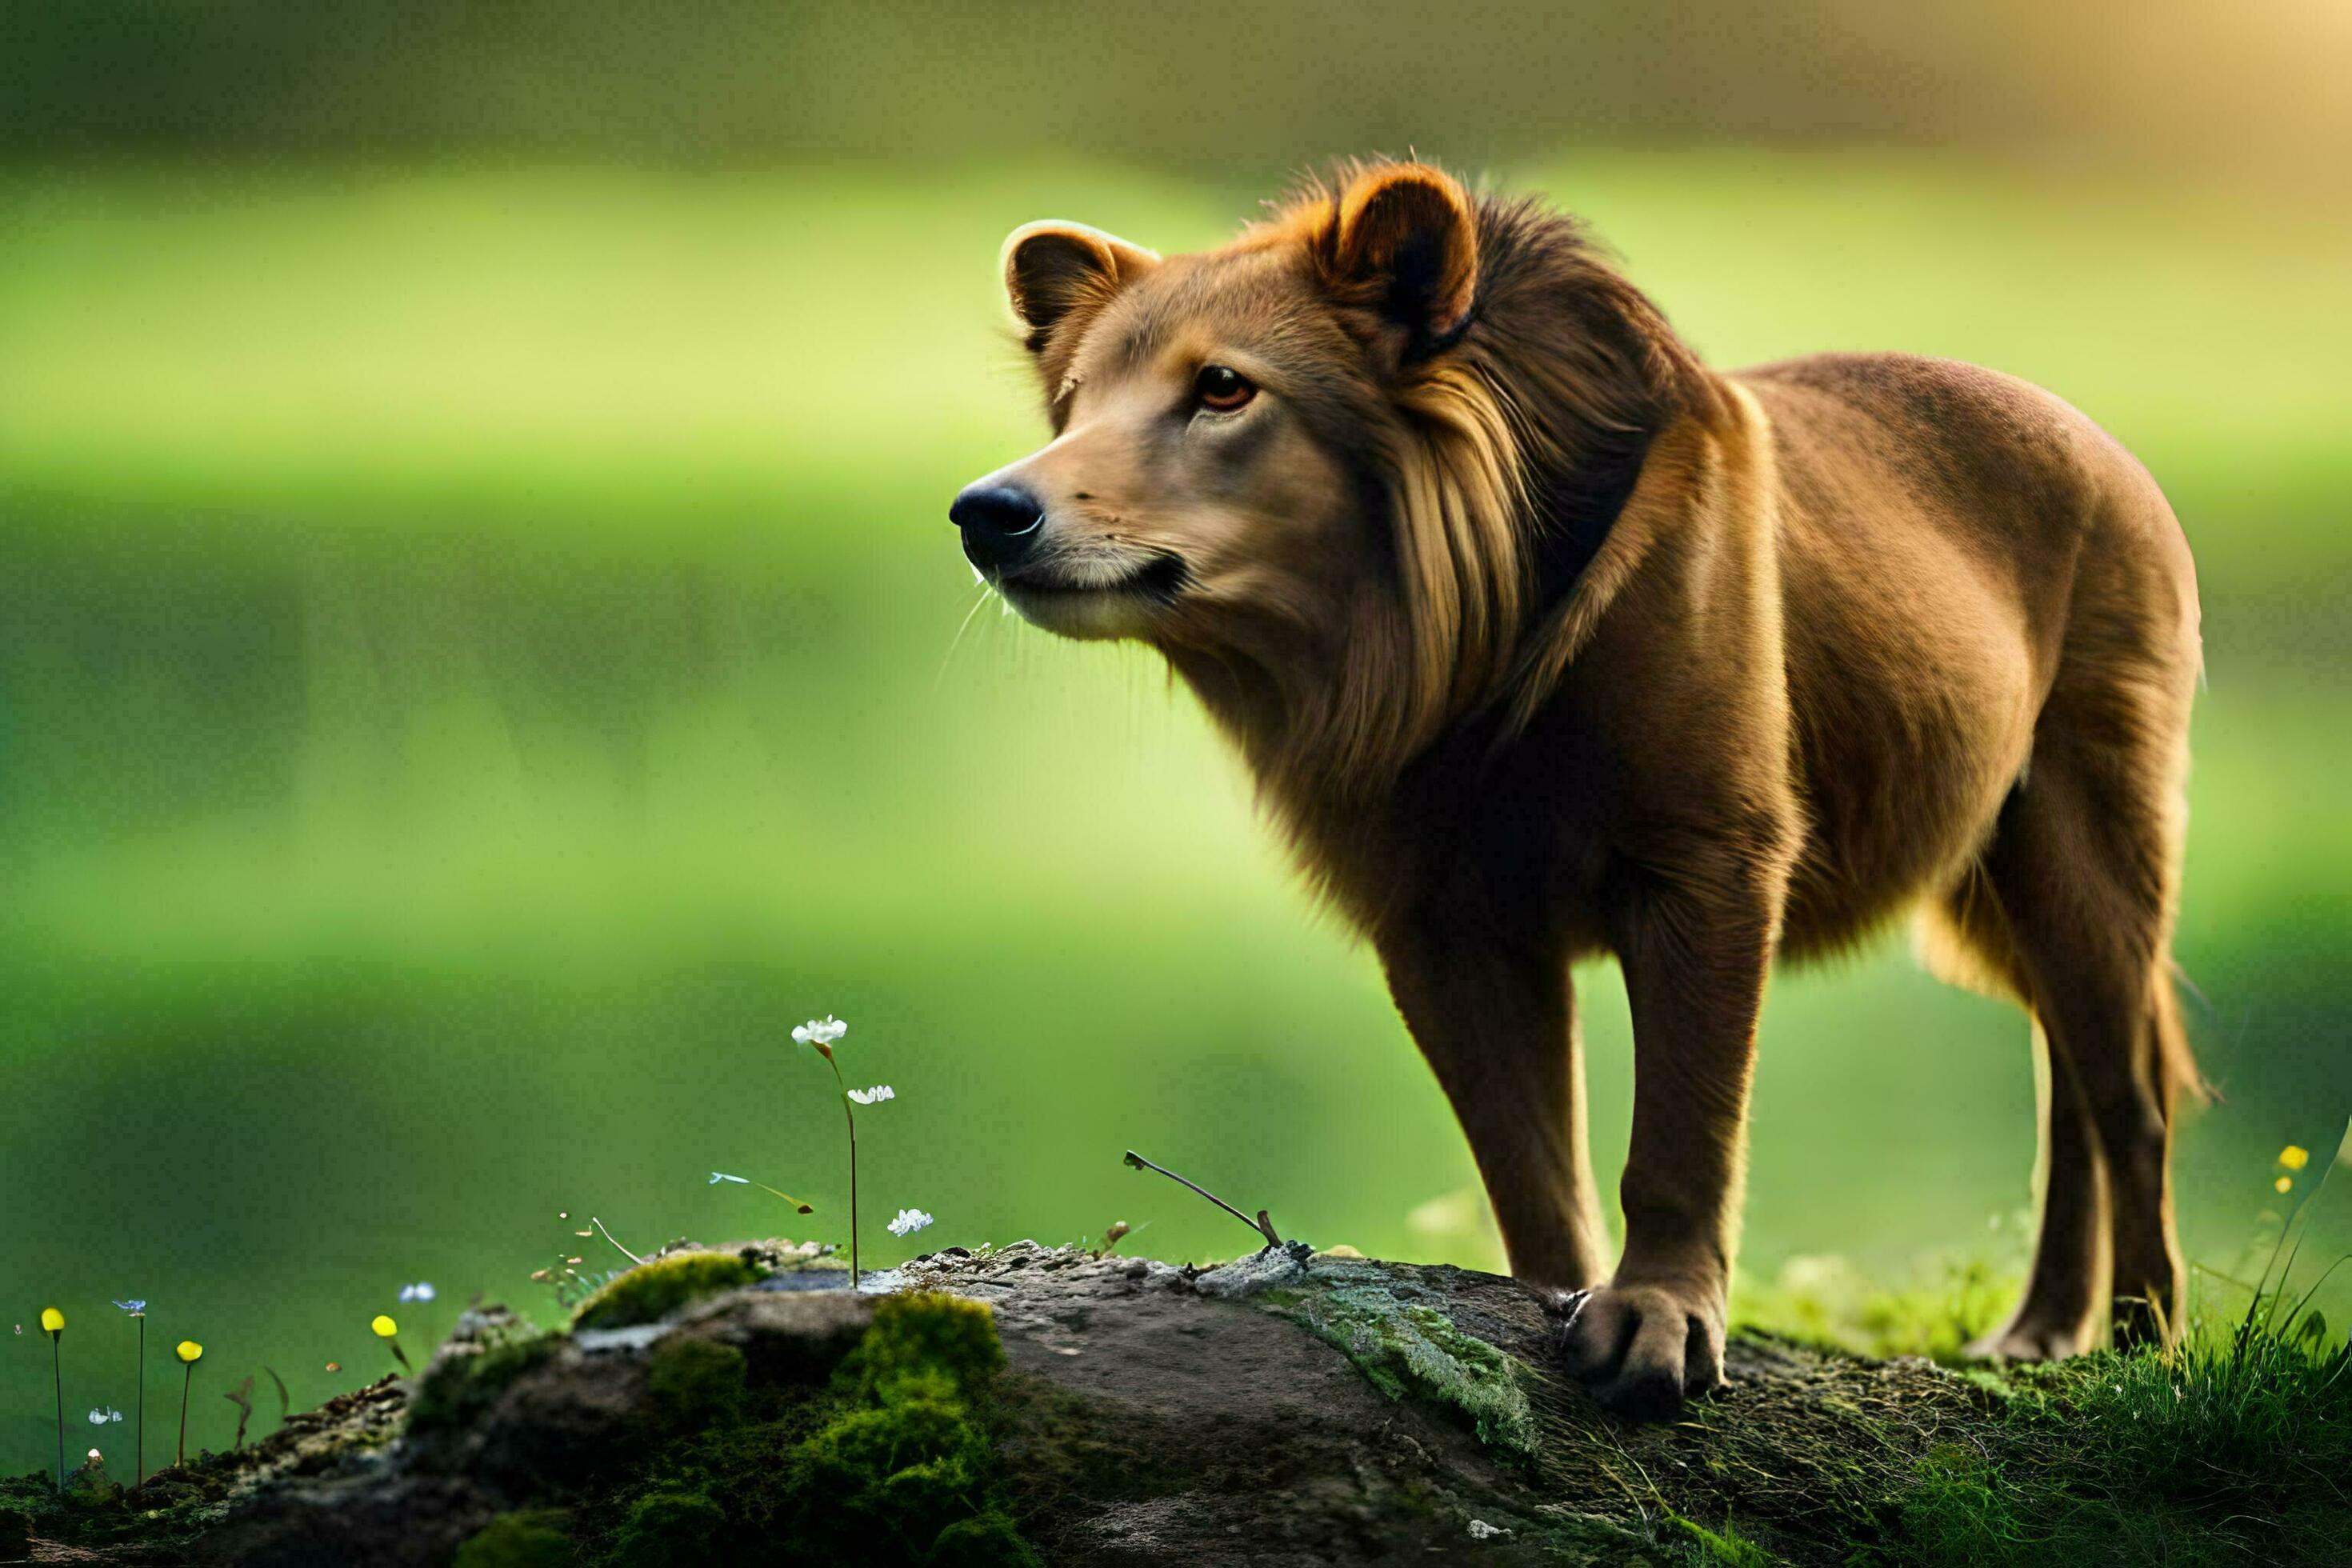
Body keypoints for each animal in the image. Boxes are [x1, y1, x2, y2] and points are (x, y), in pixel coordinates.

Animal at [949, 160, 2201, 1418]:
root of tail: (2097, 439)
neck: (1452, 656)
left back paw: (2142, 1343)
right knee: (2075, 1089)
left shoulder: (1709, 865)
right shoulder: (1442, 923)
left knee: (2130, 1101)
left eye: (1222, 389)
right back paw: (2041, 1329)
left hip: (2085, 838)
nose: (986, 513)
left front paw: (1659, 1323)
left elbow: (1681, 1139)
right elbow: (1531, 1172)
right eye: (1073, 407)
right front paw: (1543, 1311)